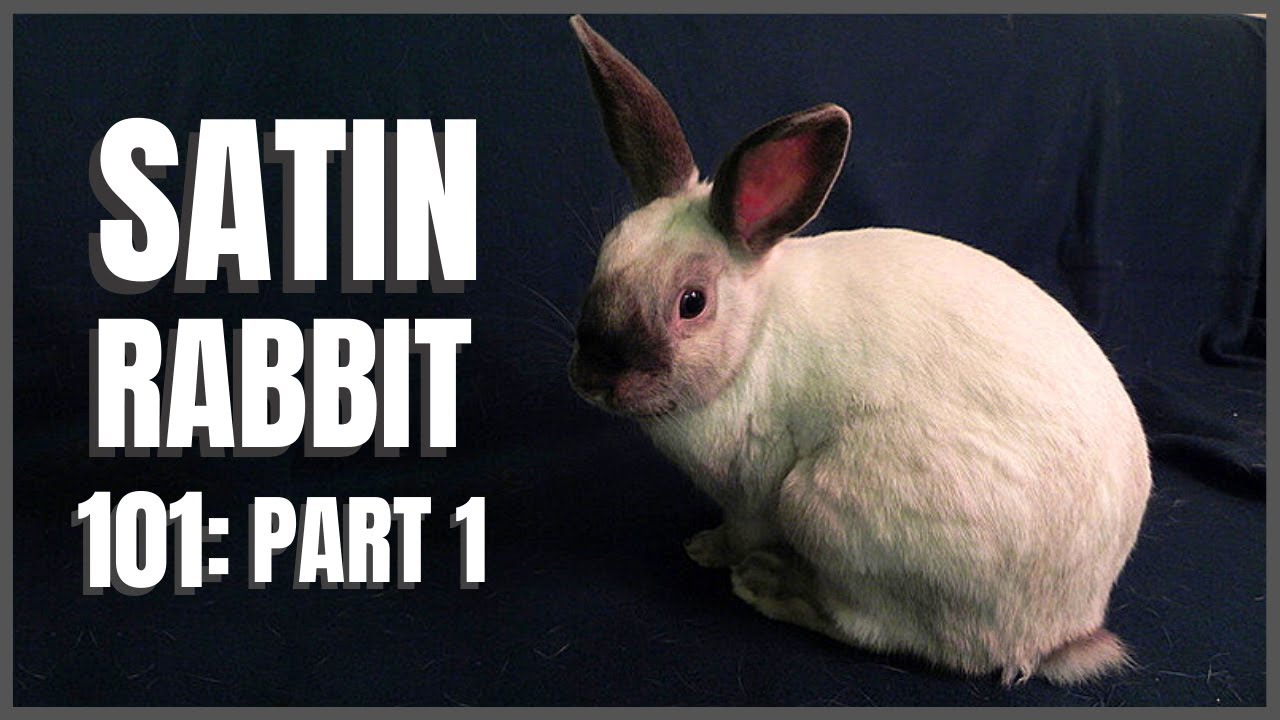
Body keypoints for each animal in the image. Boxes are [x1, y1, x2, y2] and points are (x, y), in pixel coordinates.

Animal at [565, 15, 1151, 686]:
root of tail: (1059, 631)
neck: (754, 337)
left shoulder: (754, 492)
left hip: (822, 508)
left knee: (879, 631)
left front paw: (707, 551)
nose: (593, 377)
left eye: (692, 303)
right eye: (605, 255)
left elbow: (741, 531)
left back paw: (770, 586)